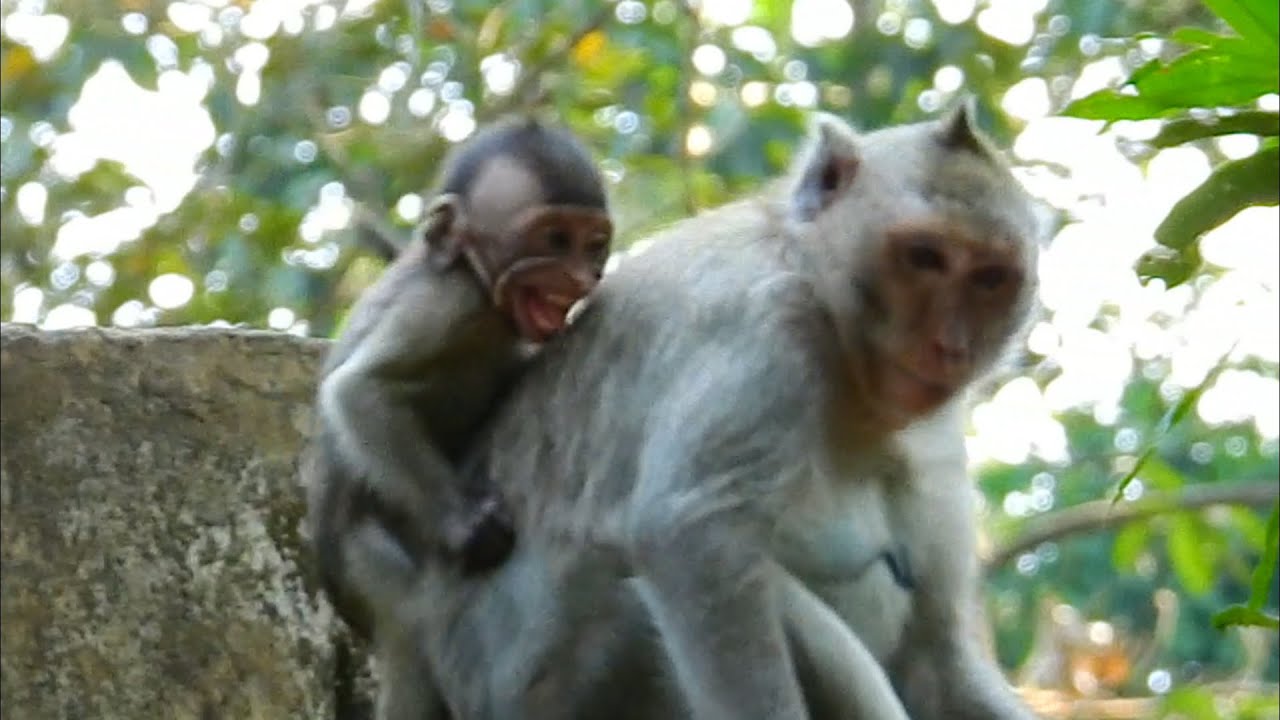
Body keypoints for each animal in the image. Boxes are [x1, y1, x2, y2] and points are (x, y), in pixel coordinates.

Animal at [301, 117, 613, 720]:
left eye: (593, 245)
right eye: (554, 240)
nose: (579, 279)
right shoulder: (447, 302)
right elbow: (359, 391)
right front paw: (466, 523)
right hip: (365, 557)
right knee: (412, 623)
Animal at [394, 101, 1046, 720]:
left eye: (990, 278)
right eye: (924, 256)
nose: (949, 345)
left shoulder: (931, 439)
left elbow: (936, 660)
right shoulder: (760, 329)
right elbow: (692, 539)